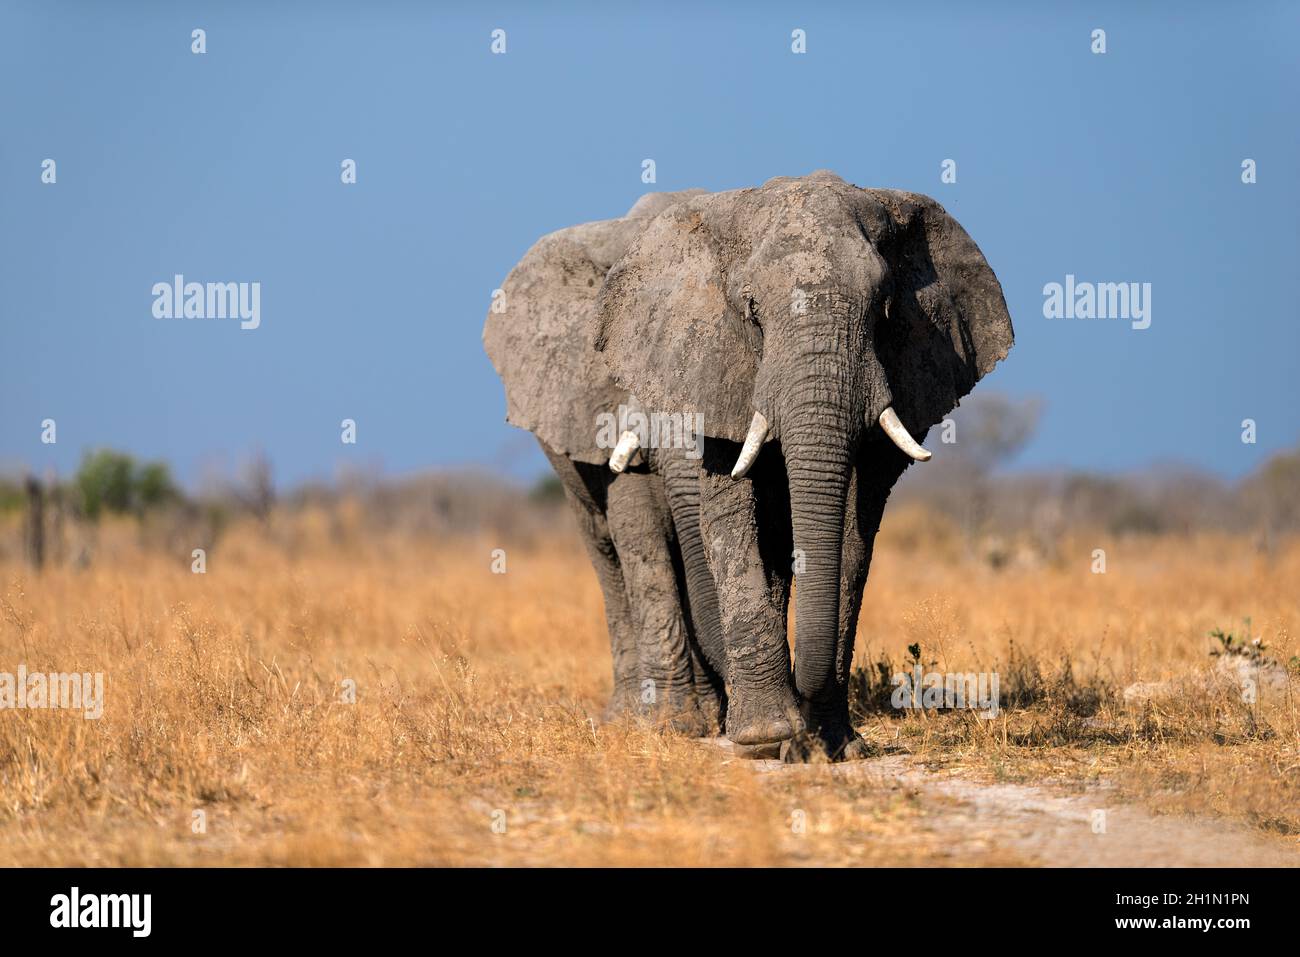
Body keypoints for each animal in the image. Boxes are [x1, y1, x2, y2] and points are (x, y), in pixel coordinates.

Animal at [594, 170, 1014, 761]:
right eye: (751, 310)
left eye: (885, 307)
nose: (802, 721)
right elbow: (730, 510)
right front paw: (767, 739)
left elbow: (857, 530)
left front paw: (833, 745)